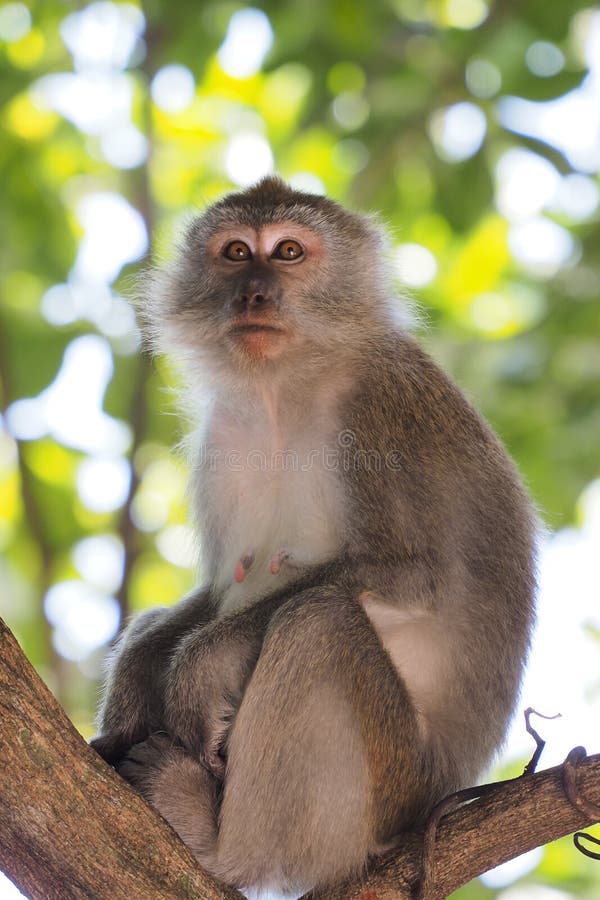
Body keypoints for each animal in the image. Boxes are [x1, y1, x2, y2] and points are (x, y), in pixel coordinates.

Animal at [91, 176, 537, 895]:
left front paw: (200, 668)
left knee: (317, 621)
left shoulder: (381, 410)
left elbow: (417, 577)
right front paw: (136, 688)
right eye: (236, 252)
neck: (282, 390)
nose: (255, 292)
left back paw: (219, 848)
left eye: (289, 251)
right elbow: (214, 589)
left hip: (388, 790)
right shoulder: (223, 434)